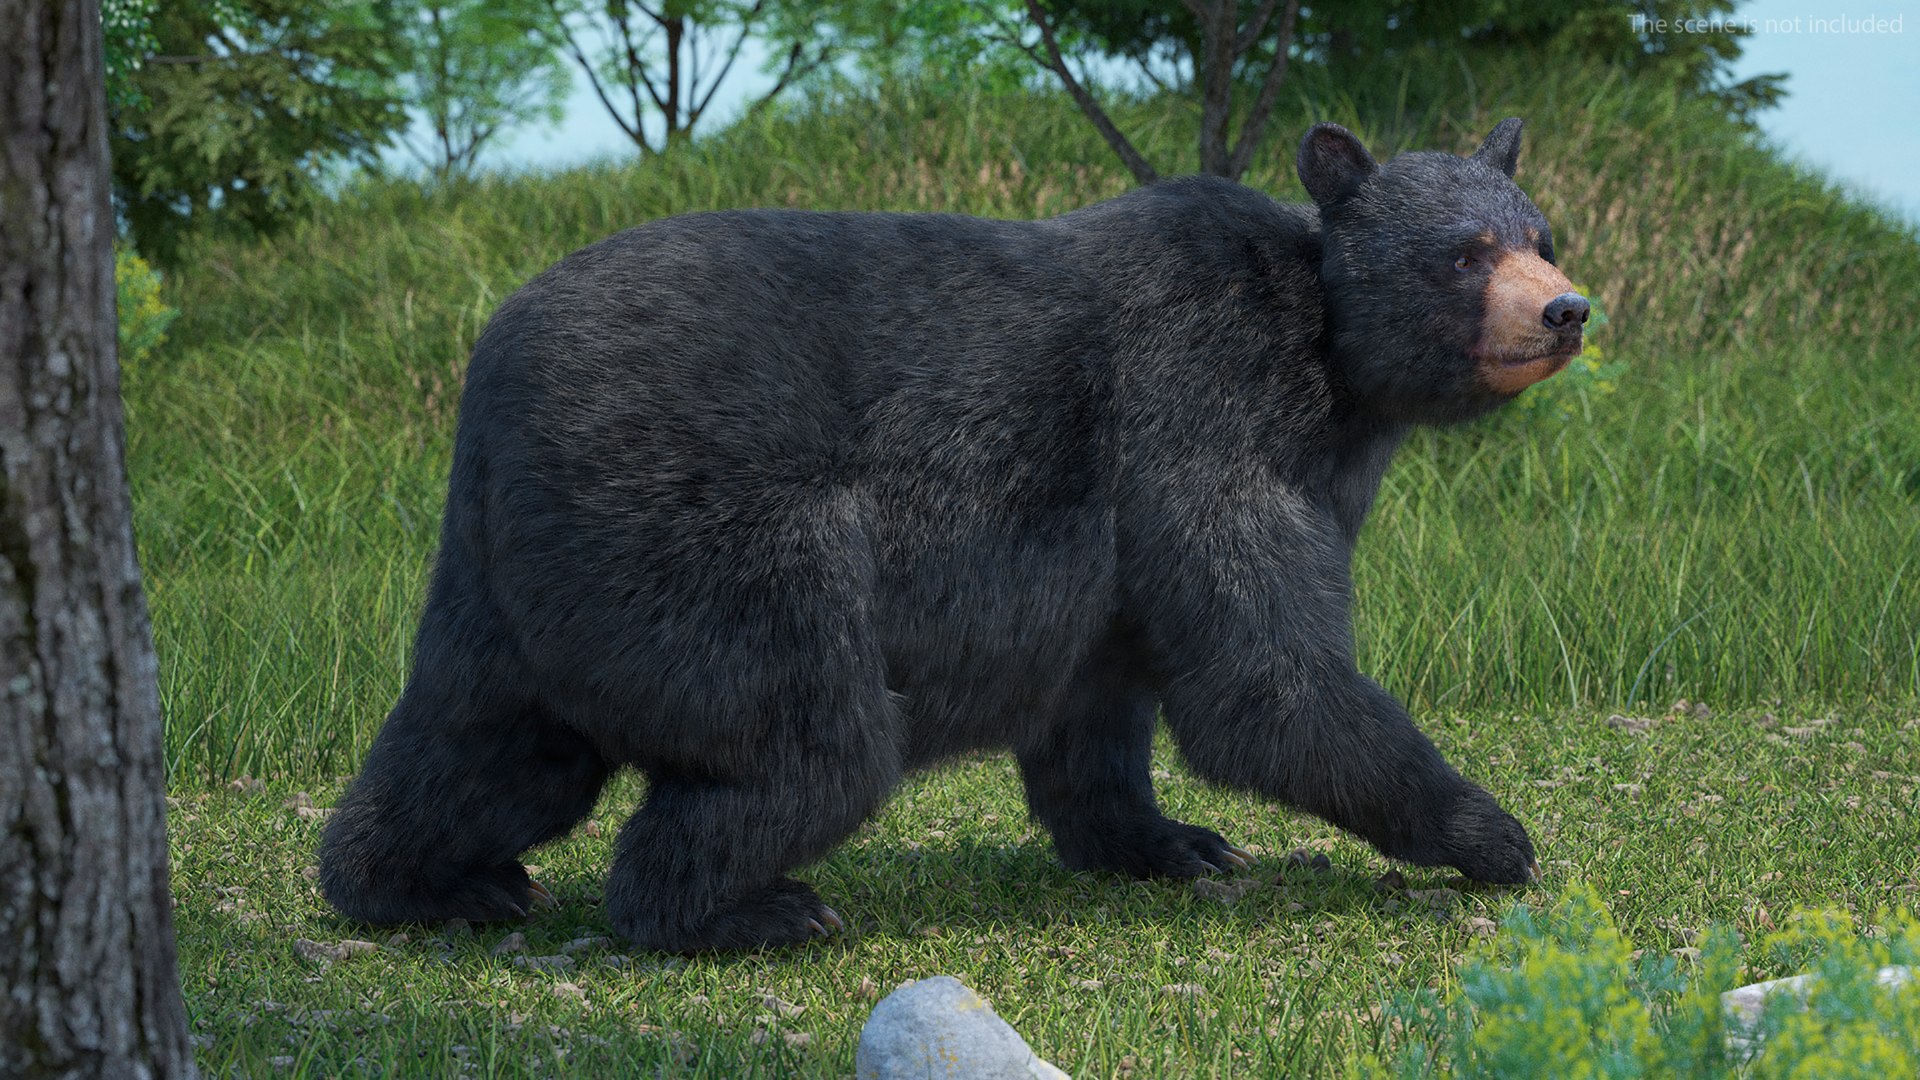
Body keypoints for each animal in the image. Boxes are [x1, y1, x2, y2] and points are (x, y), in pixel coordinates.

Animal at [319, 118, 1587, 953]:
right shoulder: (1200, 407)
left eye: (1542, 231)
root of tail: (490, 373)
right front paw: (1491, 834)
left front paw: (1172, 841)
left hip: (518, 572)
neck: (1326, 363)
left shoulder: (1117, 543)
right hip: (708, 527)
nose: (1567, 308)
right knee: (809, 739)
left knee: (490, 743)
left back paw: (426, 883)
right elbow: (1266, 679)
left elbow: (1101, 701)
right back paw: (752, 907)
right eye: (1465, 251)